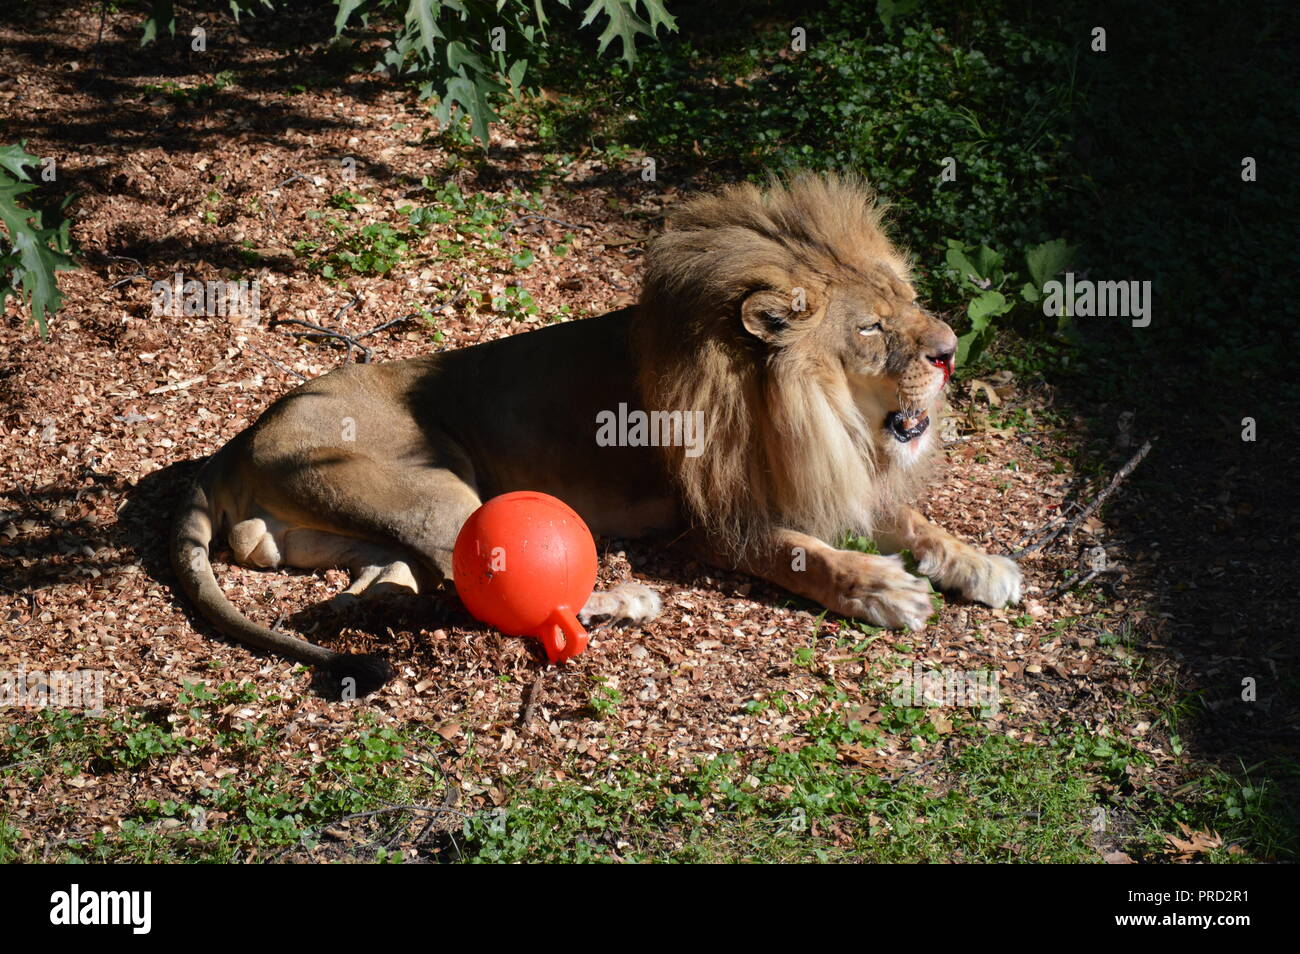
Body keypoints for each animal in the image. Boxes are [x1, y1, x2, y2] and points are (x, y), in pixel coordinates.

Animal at [172, 173, 1021, 691]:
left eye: (906, 299)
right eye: (872, 328)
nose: (950, 352)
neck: (819, 413)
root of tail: (233, 444)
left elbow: (912, 518)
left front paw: (980, 565)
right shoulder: (715, 521)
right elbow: (804, 555)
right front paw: (883, 588)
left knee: (384, 589)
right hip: (435, 481)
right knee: (478, 581)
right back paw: (625, 597)